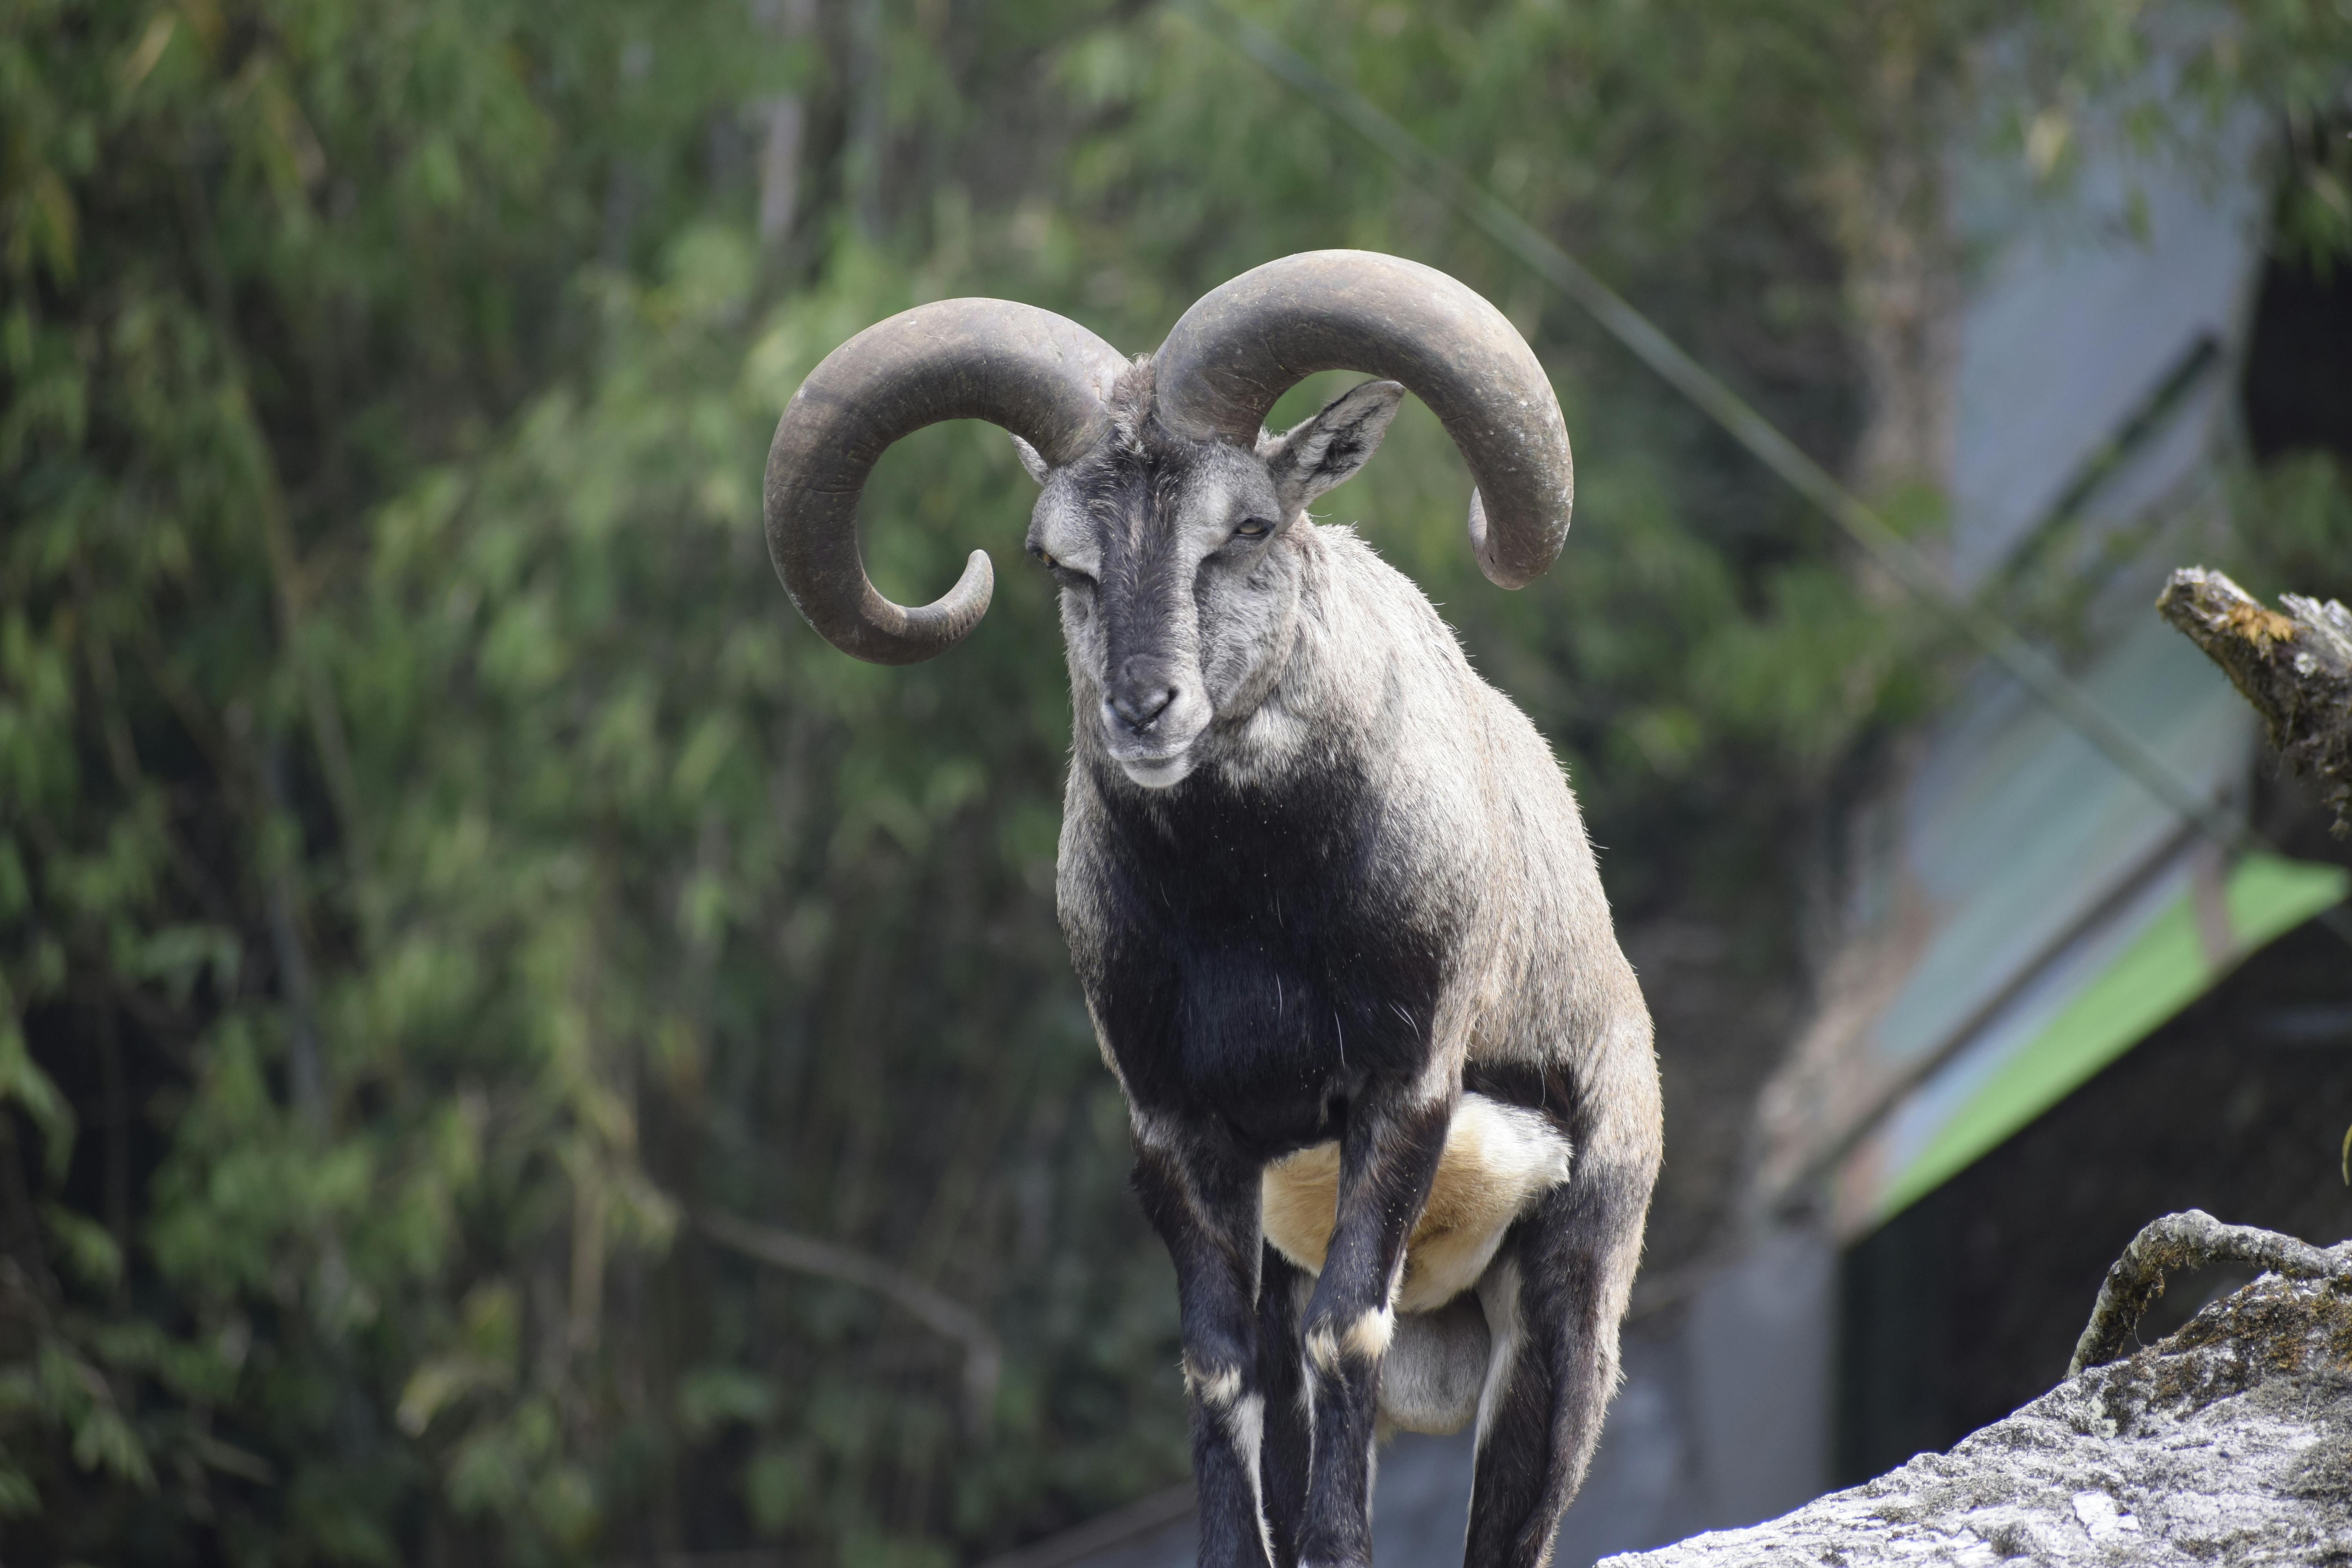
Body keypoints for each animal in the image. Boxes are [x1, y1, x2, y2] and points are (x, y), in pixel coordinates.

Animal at [763, 250, 1660, 1568]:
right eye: (1060, 560)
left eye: (1245, 526)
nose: (1146, 708)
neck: (1251, 914)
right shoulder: (1178, 1130)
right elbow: (1218, 1367)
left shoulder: (1402, 1090)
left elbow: (1348, 1327)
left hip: (1568, 1302)